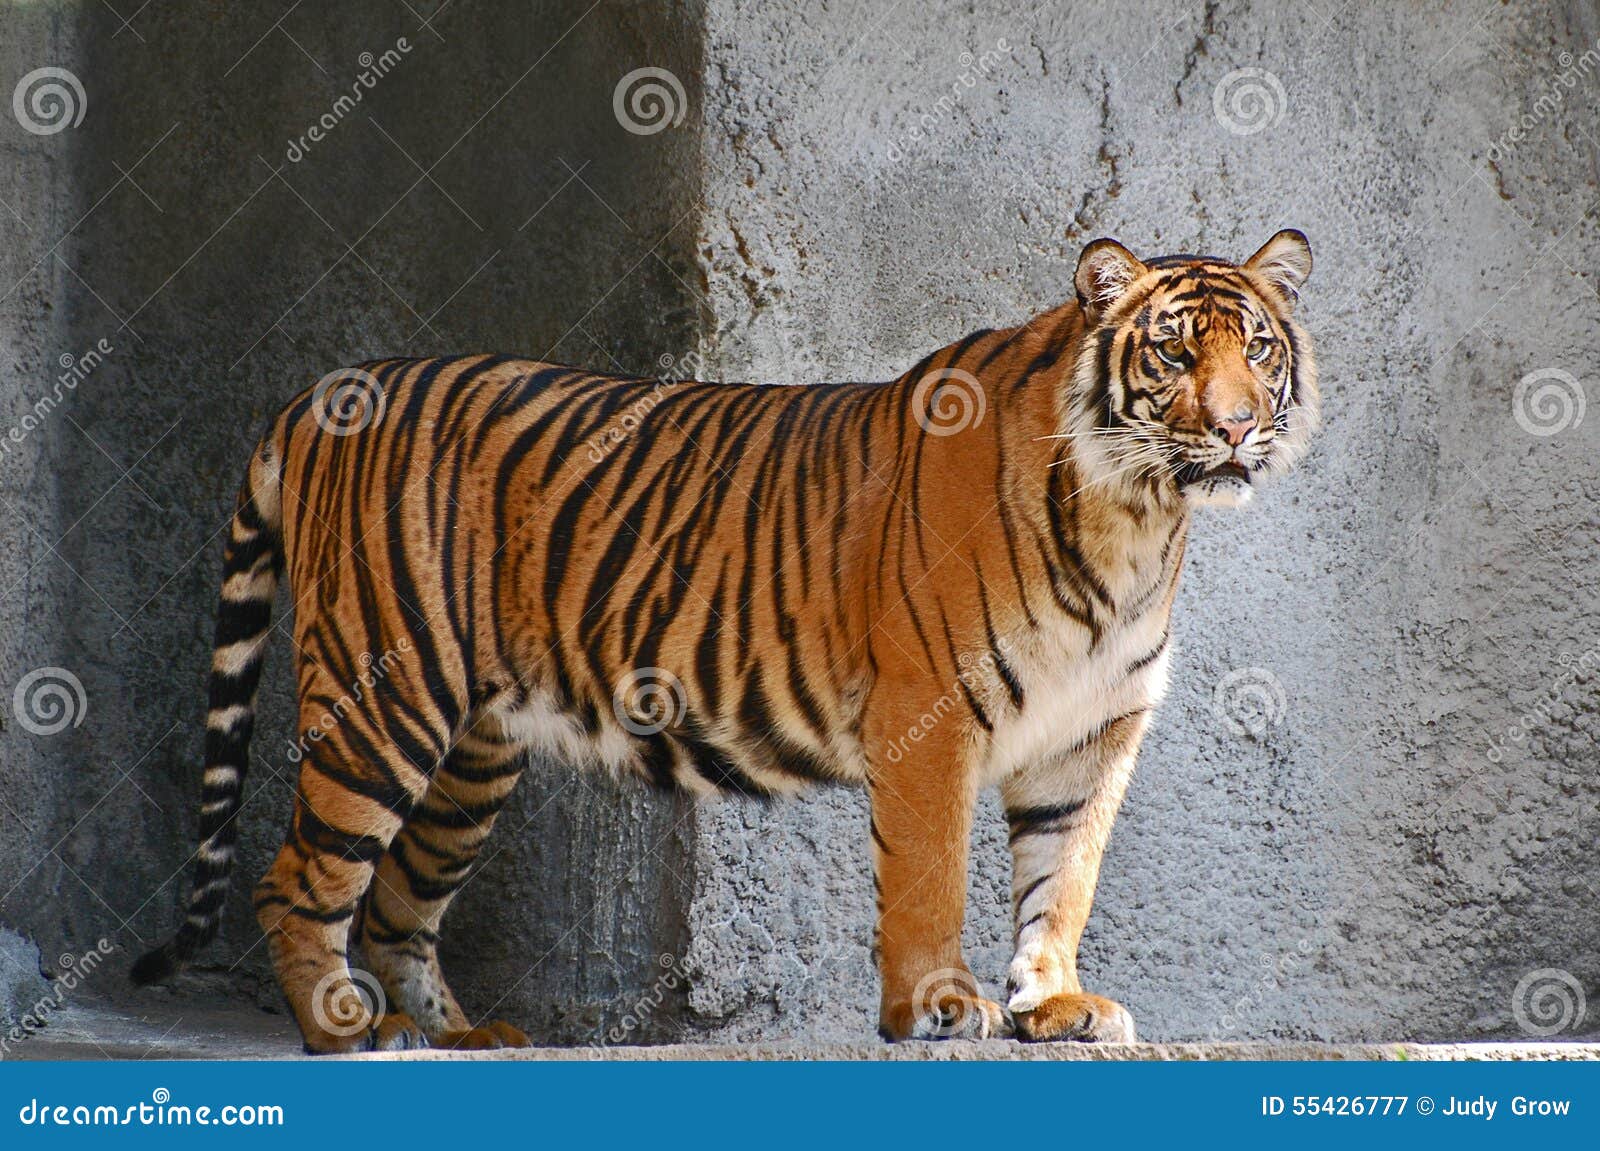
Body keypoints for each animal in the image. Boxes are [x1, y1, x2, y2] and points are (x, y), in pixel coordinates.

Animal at [132, 230, 1318, 1053]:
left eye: (1257, 351)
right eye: (1173, 352)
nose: (1235, 426)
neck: (1137, 517)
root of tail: (322, 391)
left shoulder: (1092, 727)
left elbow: (1062, 875)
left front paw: (1056, 1001)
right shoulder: (931, 709)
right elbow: (930, 872)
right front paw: (940, 1004)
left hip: (472, 751)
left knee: (395, 904)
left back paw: (456, 1034)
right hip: (386, 700)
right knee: (298, 880)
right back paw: (347, 1030)